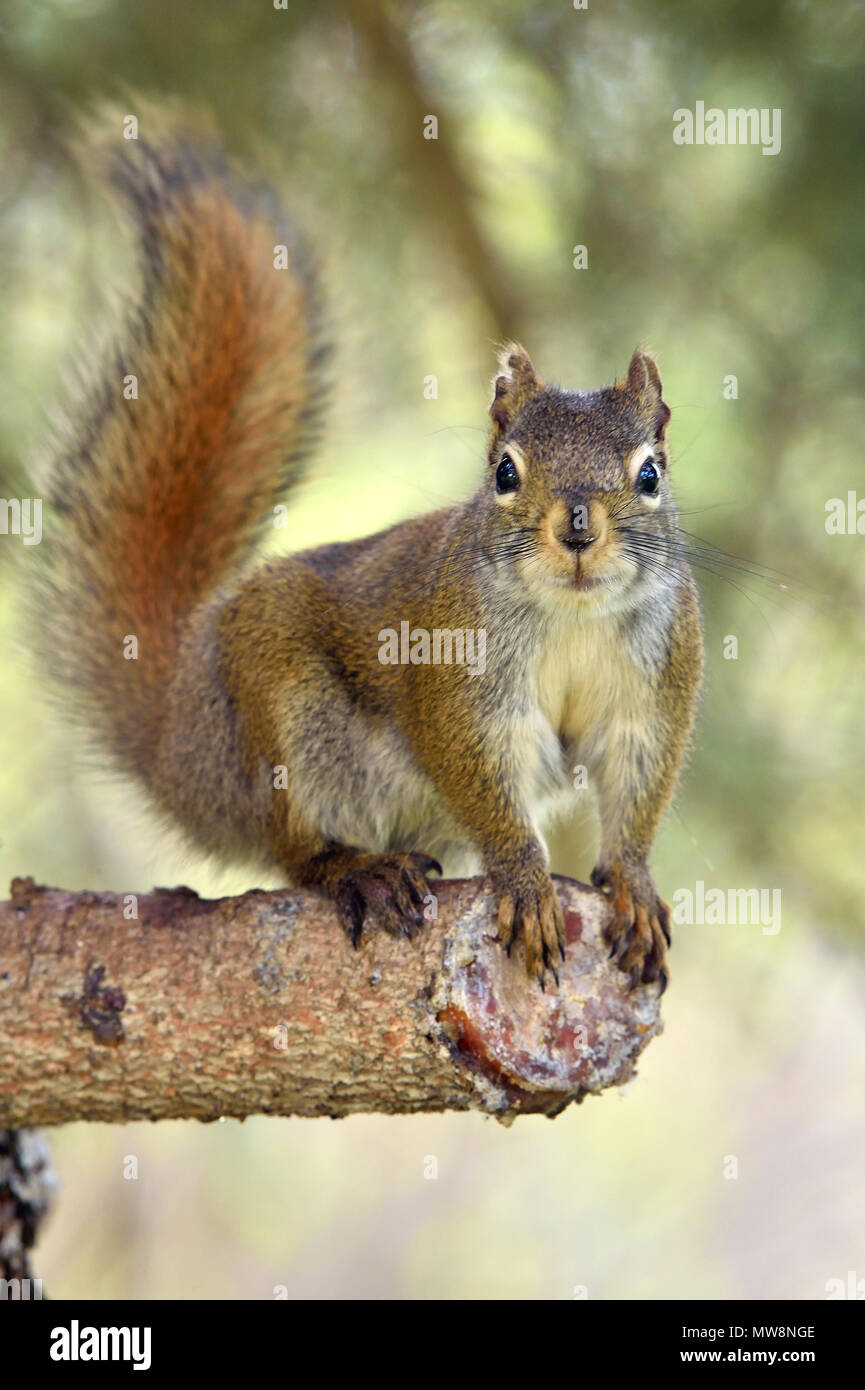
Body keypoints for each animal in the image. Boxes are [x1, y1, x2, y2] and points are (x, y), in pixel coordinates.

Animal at [35, 118, 703, 991]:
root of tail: (183, 744)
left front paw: (632, 882)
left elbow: (637, 788)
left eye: (650, 474)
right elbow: (485, 787)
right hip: (285, 710)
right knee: (295, 850)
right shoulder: (456, 684)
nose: (579, 530)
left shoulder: (655, 685)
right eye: (505, 472)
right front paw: (525, 881)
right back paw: (357, 868)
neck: (571, 614)